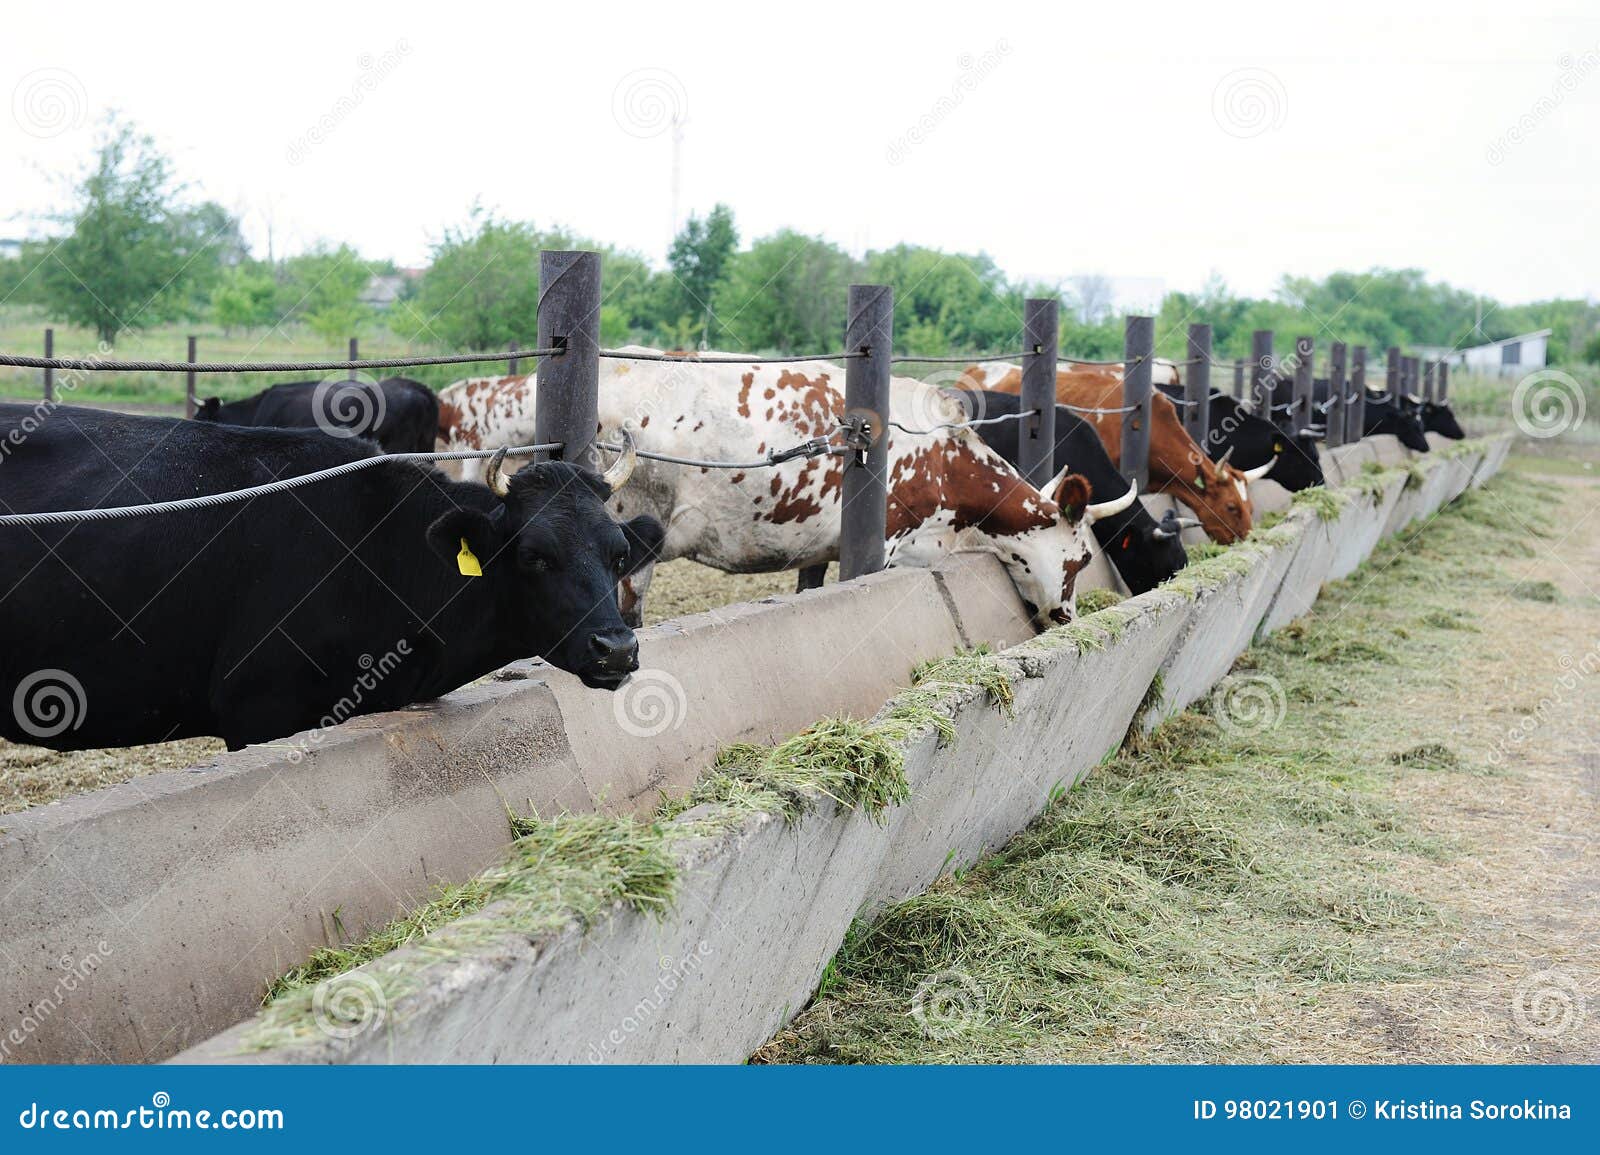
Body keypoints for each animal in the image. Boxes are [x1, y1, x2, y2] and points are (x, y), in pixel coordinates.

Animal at [435, 353, 1140, 629]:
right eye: (1079, 558)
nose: (1066, 616)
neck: (940, 459)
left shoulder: (819, 553)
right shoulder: (888, 547)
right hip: (629, 545)